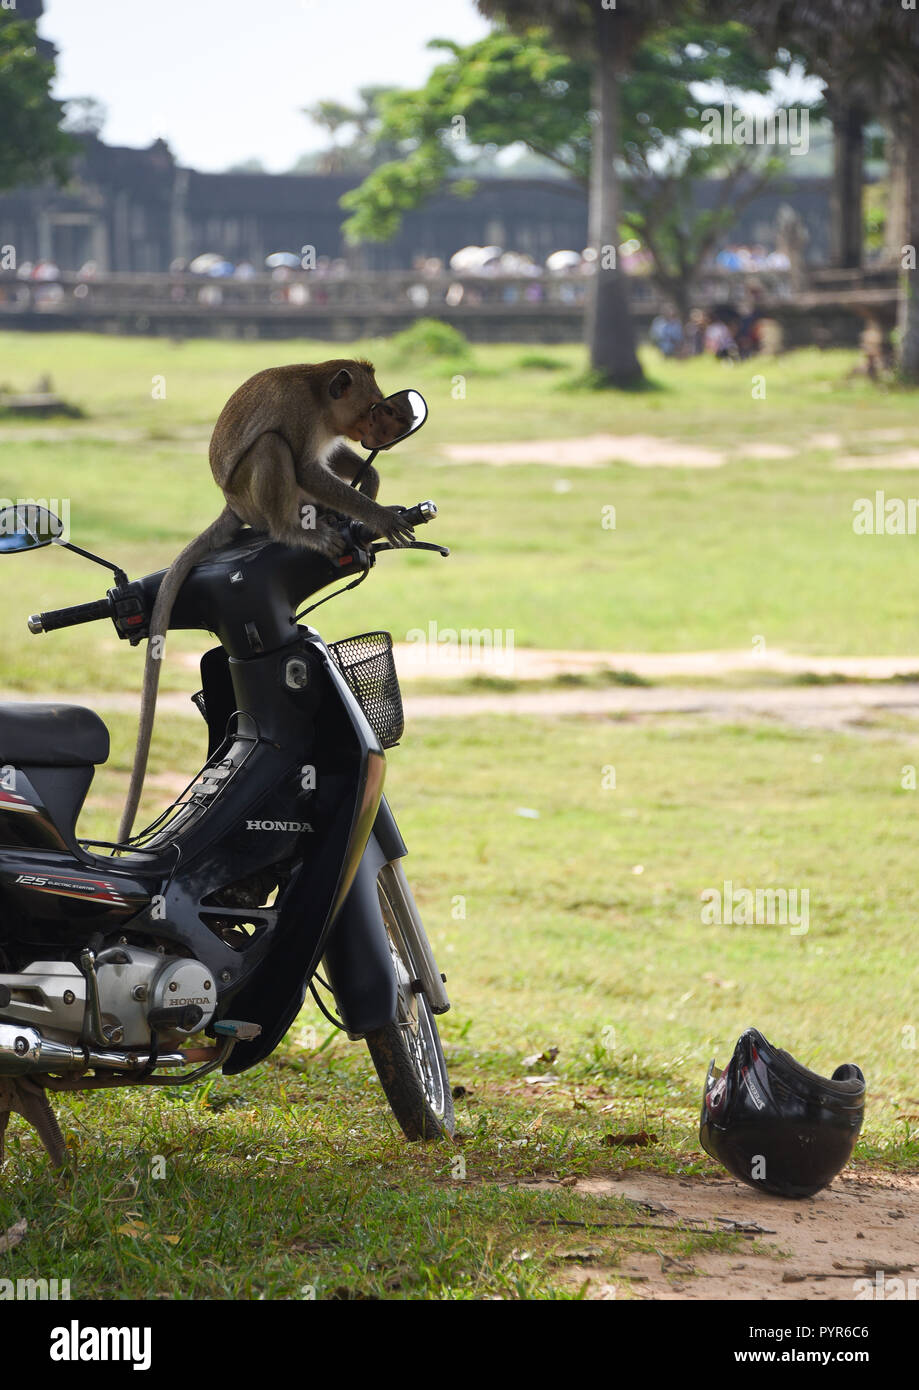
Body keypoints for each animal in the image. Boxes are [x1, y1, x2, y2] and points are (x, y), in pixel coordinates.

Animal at [118, 359, 415, 843]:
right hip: (254, 498)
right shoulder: (299, 417)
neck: (319, 398)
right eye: (375, 407)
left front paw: (368, 483)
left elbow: (329, 459)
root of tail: (232, 505)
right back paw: (294, 530)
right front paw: (380, 516)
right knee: (271, 449)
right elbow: (305, 466)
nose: (380, 429)